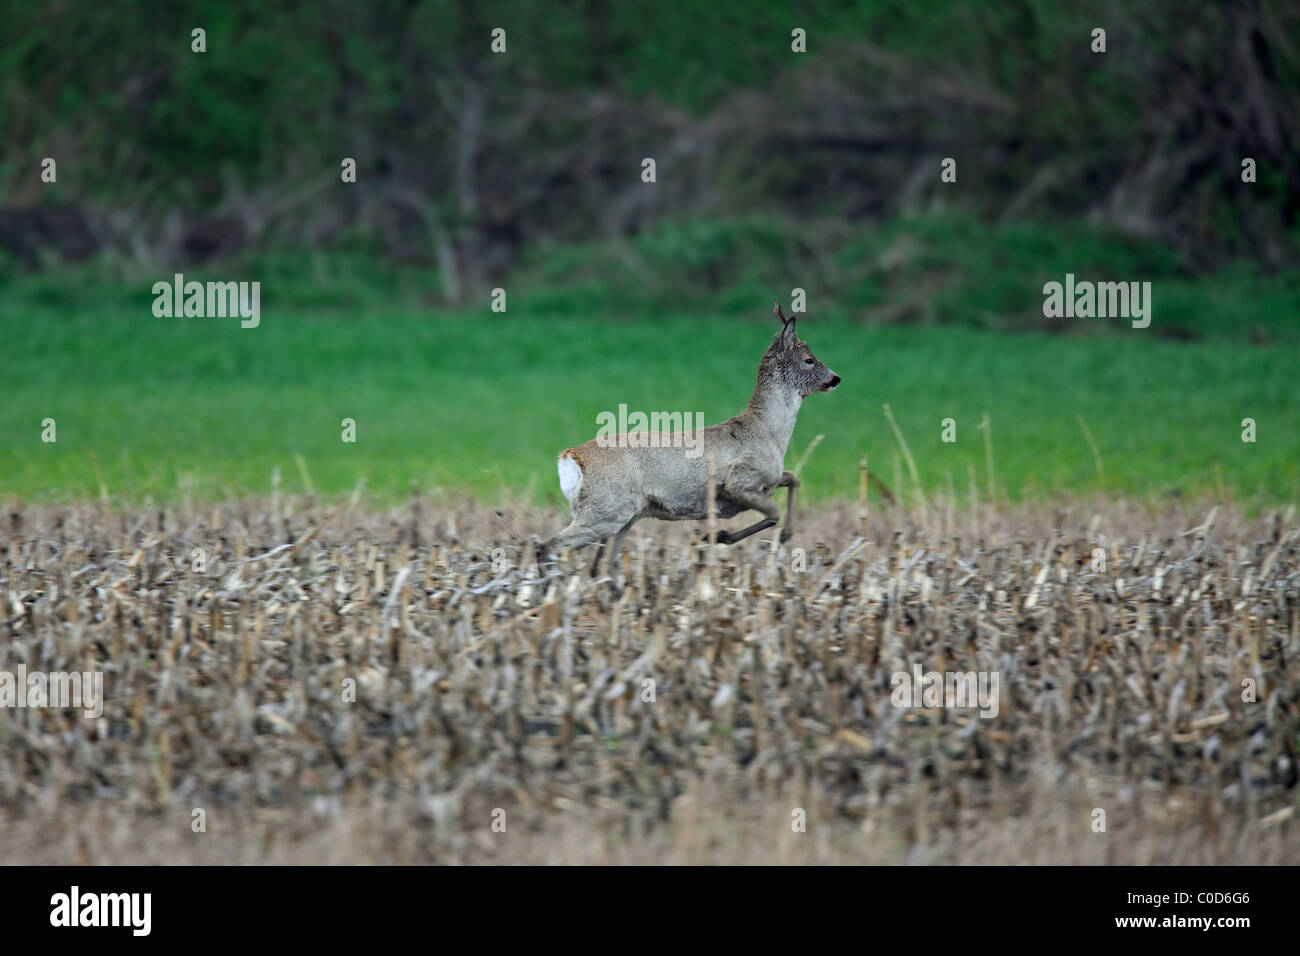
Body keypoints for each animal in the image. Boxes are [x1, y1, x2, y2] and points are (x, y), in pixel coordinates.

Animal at [537, 303, 840, 573]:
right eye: (809, 359)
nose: (836, 378)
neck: (767, 432)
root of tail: (569, 457)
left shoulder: (768, 481)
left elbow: (793, 478)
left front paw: (784, 535)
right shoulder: (739, 483)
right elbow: (774, 512)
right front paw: (717, 537)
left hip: (623, 517)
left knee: (600, 566)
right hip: (606, 511)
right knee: (548, 547)